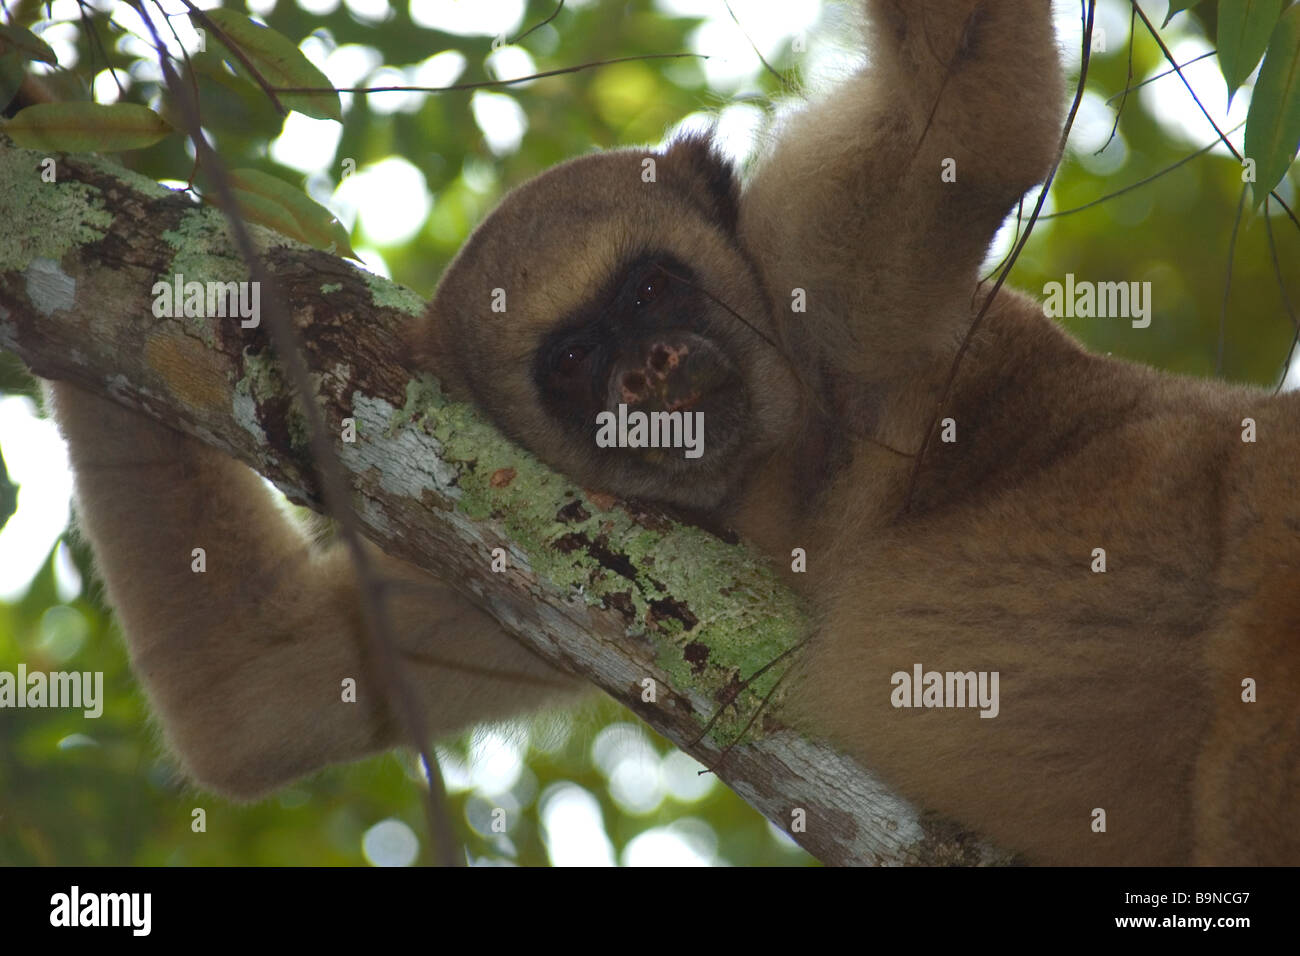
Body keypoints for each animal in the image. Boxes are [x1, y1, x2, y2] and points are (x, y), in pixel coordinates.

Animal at [40, 0, 1299, 865]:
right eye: (572, 362)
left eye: (649, 293)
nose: (646, 368)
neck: (775, 482)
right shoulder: (519, 541)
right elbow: (247, 688)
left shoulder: (818, 269)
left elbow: (976, 113)